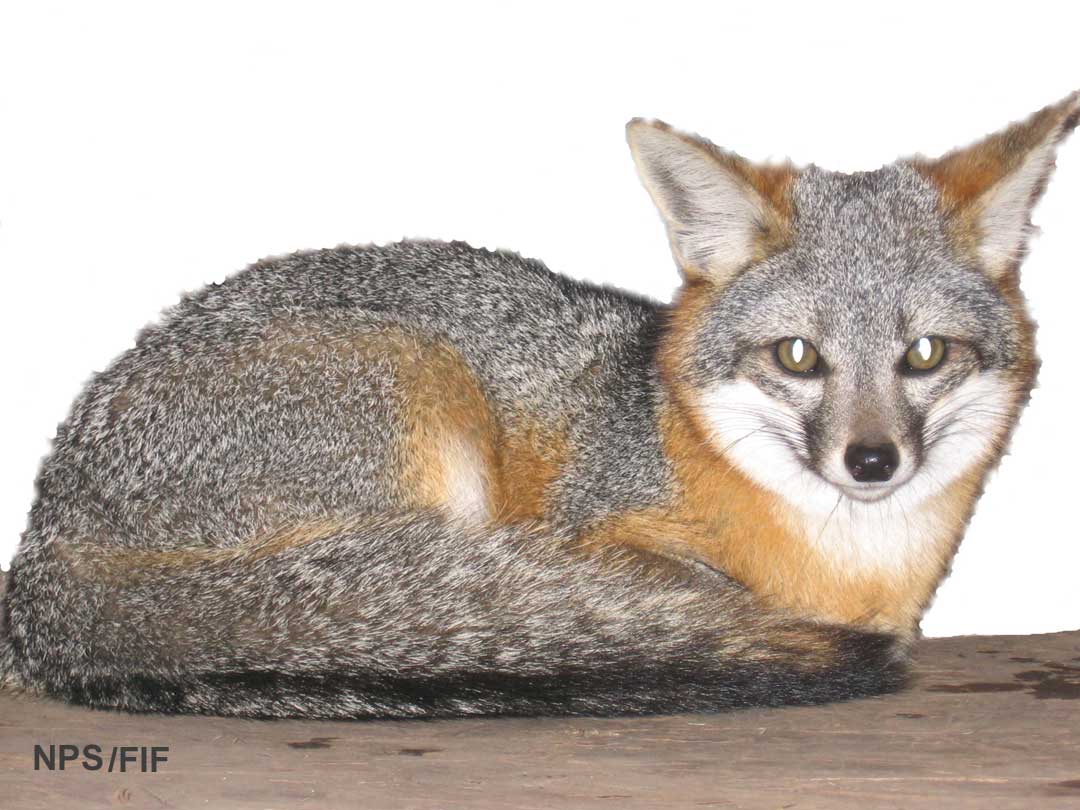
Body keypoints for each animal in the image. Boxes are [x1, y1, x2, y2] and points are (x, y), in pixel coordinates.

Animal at [1, 93, 1077, 720]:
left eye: (923, 355)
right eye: (799, 358)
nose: (871, 461)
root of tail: (47, 545)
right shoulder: (596, 535)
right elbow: (696, 587)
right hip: (424, 388)